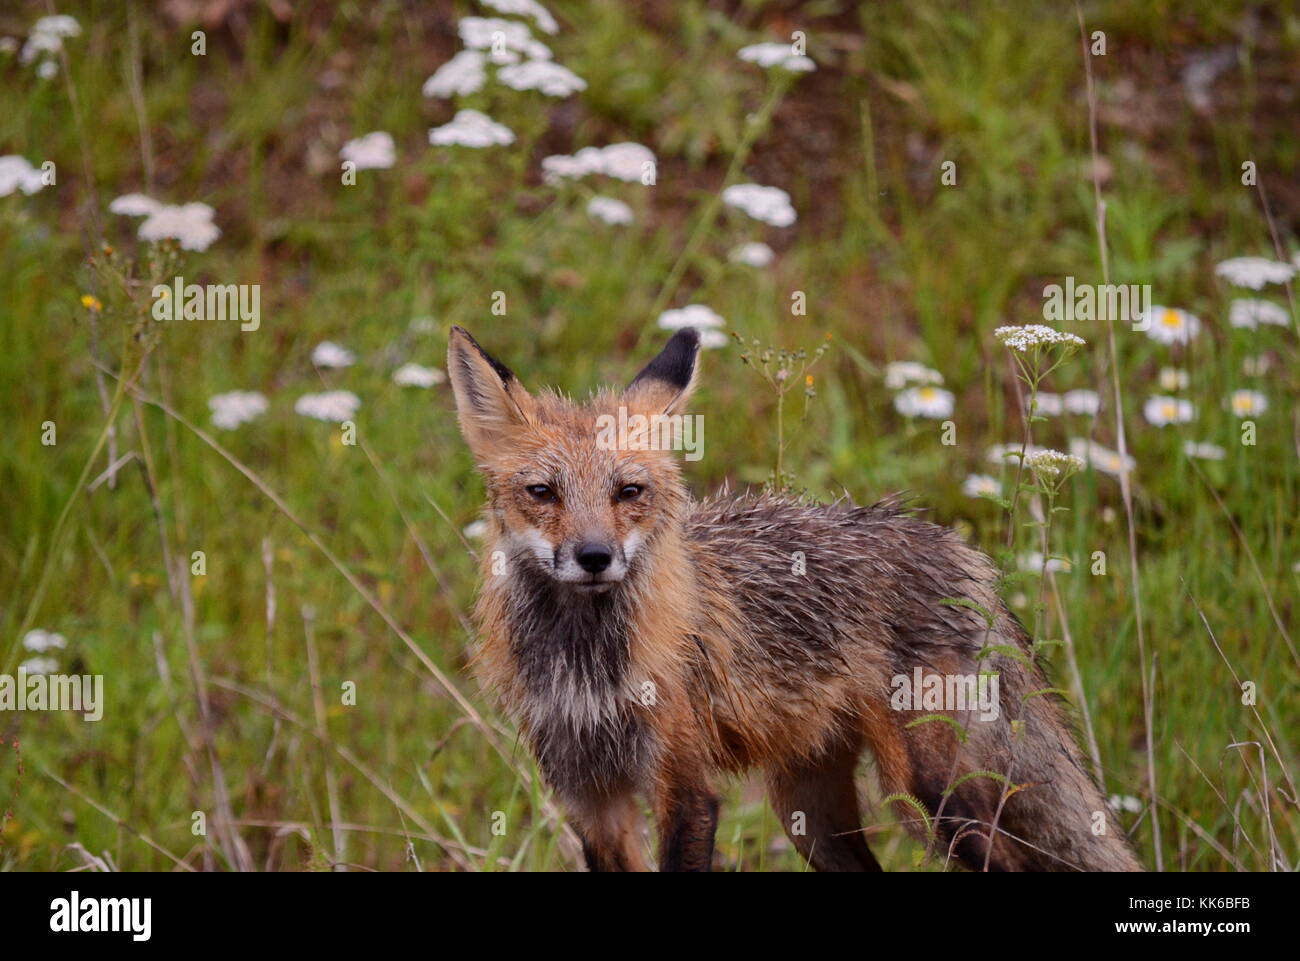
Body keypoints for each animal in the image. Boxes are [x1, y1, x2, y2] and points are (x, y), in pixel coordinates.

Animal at [447, 324, 1143, 872]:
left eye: (629, 491)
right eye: (542, 492)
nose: (594, 557)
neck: (585, 668)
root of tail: (952, 545)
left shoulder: (685, 788)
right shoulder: (590, 797)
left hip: (931, 793)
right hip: (810, 813)